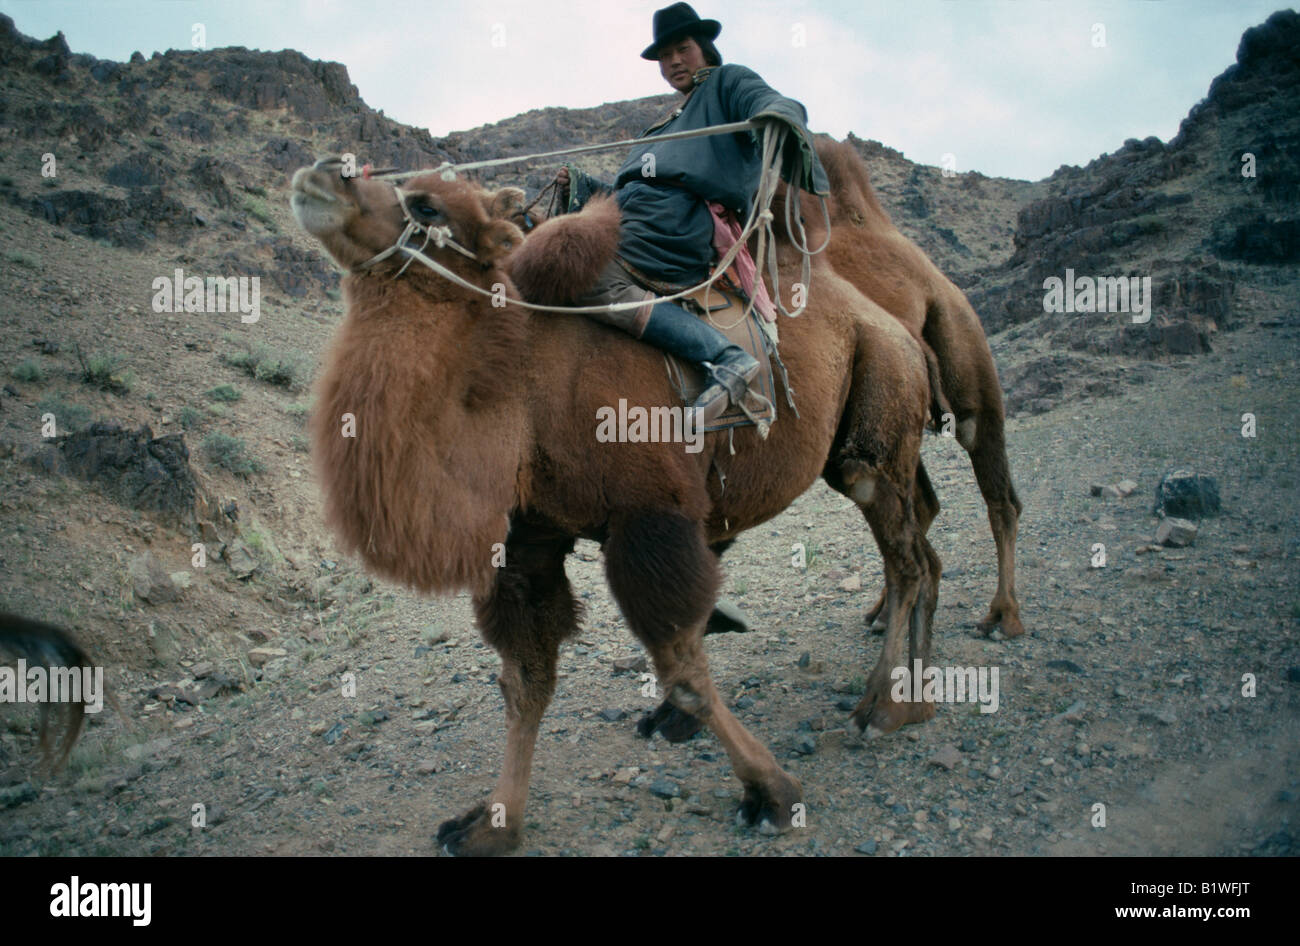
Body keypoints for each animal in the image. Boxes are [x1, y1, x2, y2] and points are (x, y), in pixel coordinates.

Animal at [291, 156, 941, 855]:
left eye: (427, 206)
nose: (322, 174)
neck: (520, 383)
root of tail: (895, 327)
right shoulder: (527, 539)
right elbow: (525, 681)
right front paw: (490, 823)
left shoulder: (649, 515)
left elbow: (683, 671)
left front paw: (770, 793)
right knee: (921, 549)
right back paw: (916, 696)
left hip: (875, 423)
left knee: (904, 554)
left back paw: (884, 707)